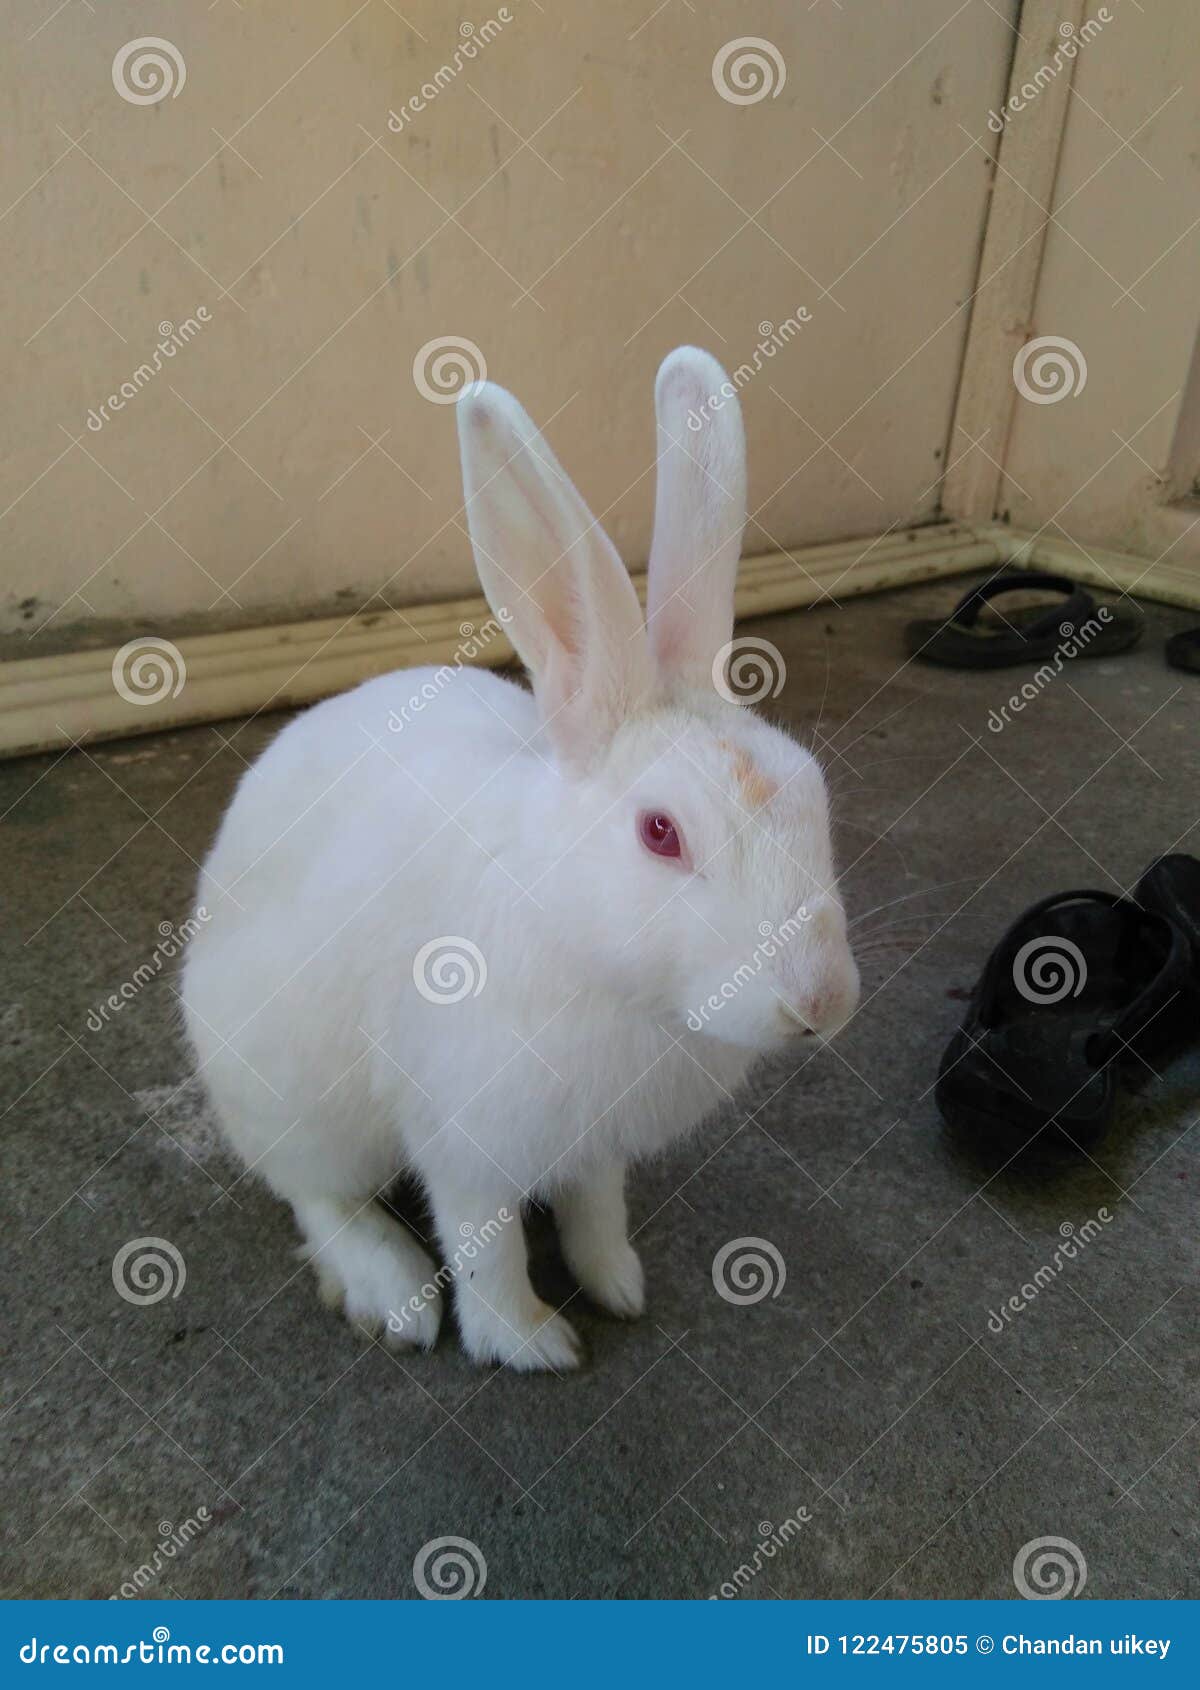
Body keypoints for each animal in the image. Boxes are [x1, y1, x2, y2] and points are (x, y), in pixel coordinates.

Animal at [180, 346, 859, 1372]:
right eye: (661, 832)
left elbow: (595, 1207)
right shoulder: (463, 1137)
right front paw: (531, 1342)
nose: (820, 1004)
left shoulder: (594, 1147)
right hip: (294, 1096)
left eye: (813, 793)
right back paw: (390, 1292)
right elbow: (483, 1242)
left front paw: (617, 1284)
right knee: (313, 1193)